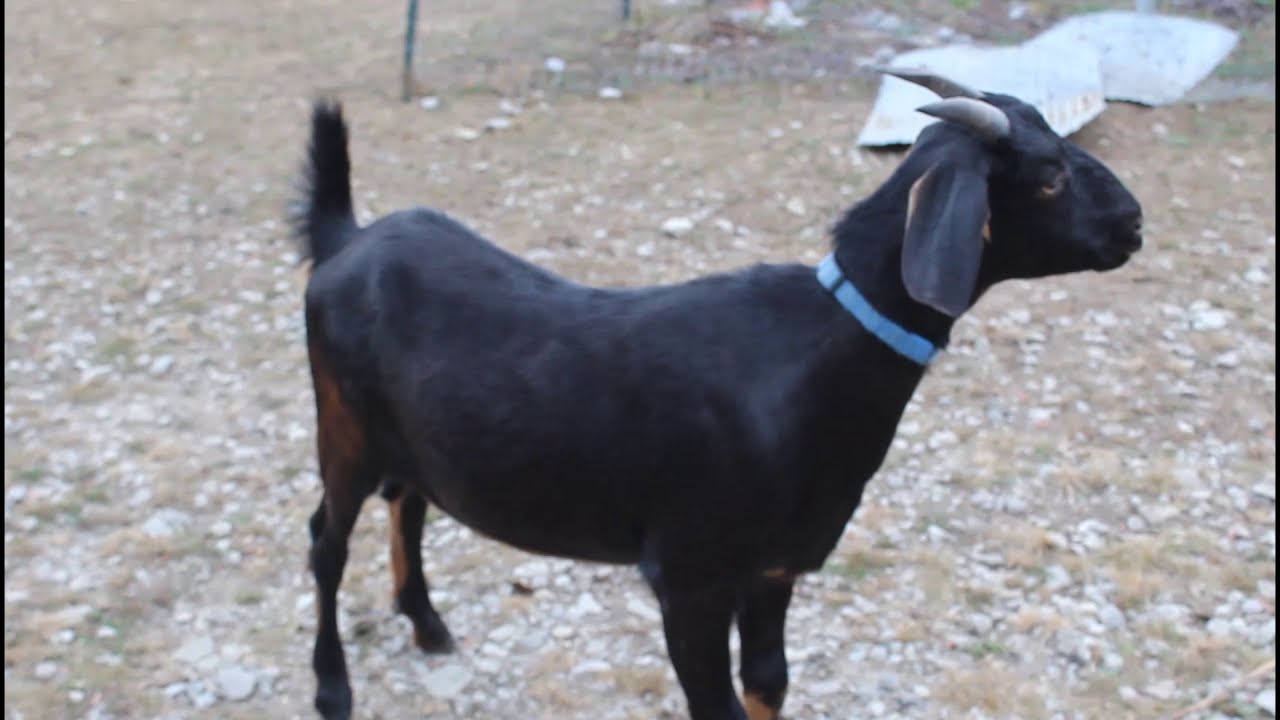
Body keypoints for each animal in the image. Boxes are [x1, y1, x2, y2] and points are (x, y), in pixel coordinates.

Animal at [291, 68, 1144, 720]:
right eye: (1048, 176)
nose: (1134, 222)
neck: (817, 359)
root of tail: (346, 239)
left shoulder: (775, 566)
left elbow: (767, 683)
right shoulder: (689, 575)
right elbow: (719, 703)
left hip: (408, 434)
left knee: (409, 500)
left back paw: (426, 622)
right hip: (341, 426)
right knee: (326, 541)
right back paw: (333, 690)